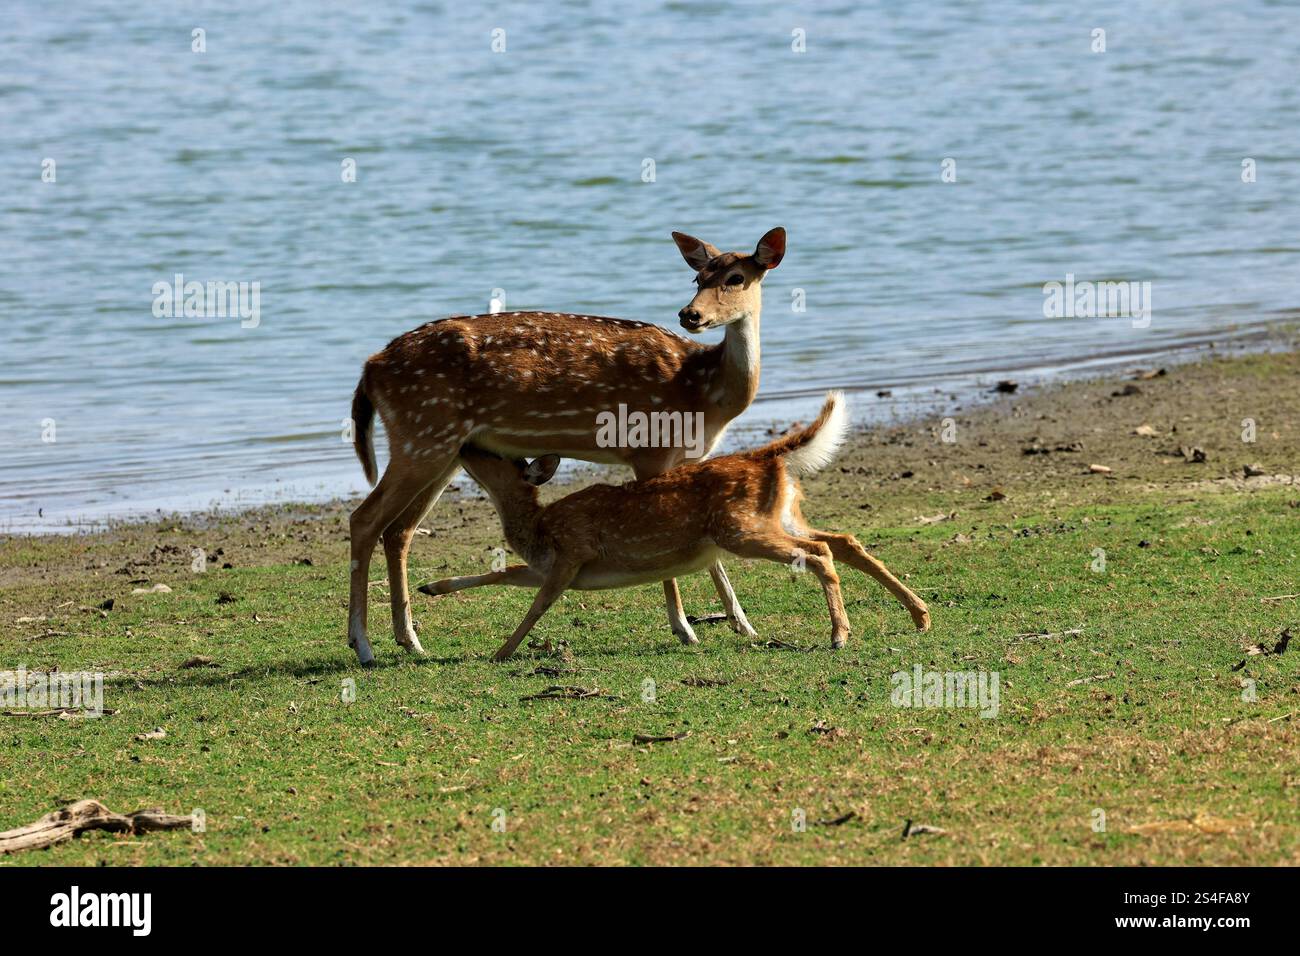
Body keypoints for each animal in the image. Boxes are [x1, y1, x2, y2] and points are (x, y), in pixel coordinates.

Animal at [347, 228, 787, 666]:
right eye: (698, 278)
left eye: (736, 278)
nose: (690, 315)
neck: (706, 394)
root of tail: (369, 369)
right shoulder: (650, 447)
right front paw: (685, 629)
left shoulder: (691, 457)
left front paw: (743, 625)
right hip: (422, 434)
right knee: (365, 519)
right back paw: (363, 645)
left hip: (443, 448)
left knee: (399, 530)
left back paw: (409, 639)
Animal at [416, 392, 931, 661]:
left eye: (501, 458)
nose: (466, 445)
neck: (538, 532)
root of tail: (770, 459)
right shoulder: (552, 565)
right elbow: (501, 574)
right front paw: (430, 587)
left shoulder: (572, 555)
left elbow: (538, 604)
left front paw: (502, 651)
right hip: (783, 514)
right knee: (843, 539)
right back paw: (919, 616)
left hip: (738, 528)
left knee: (820, 553)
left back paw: (840, 635)